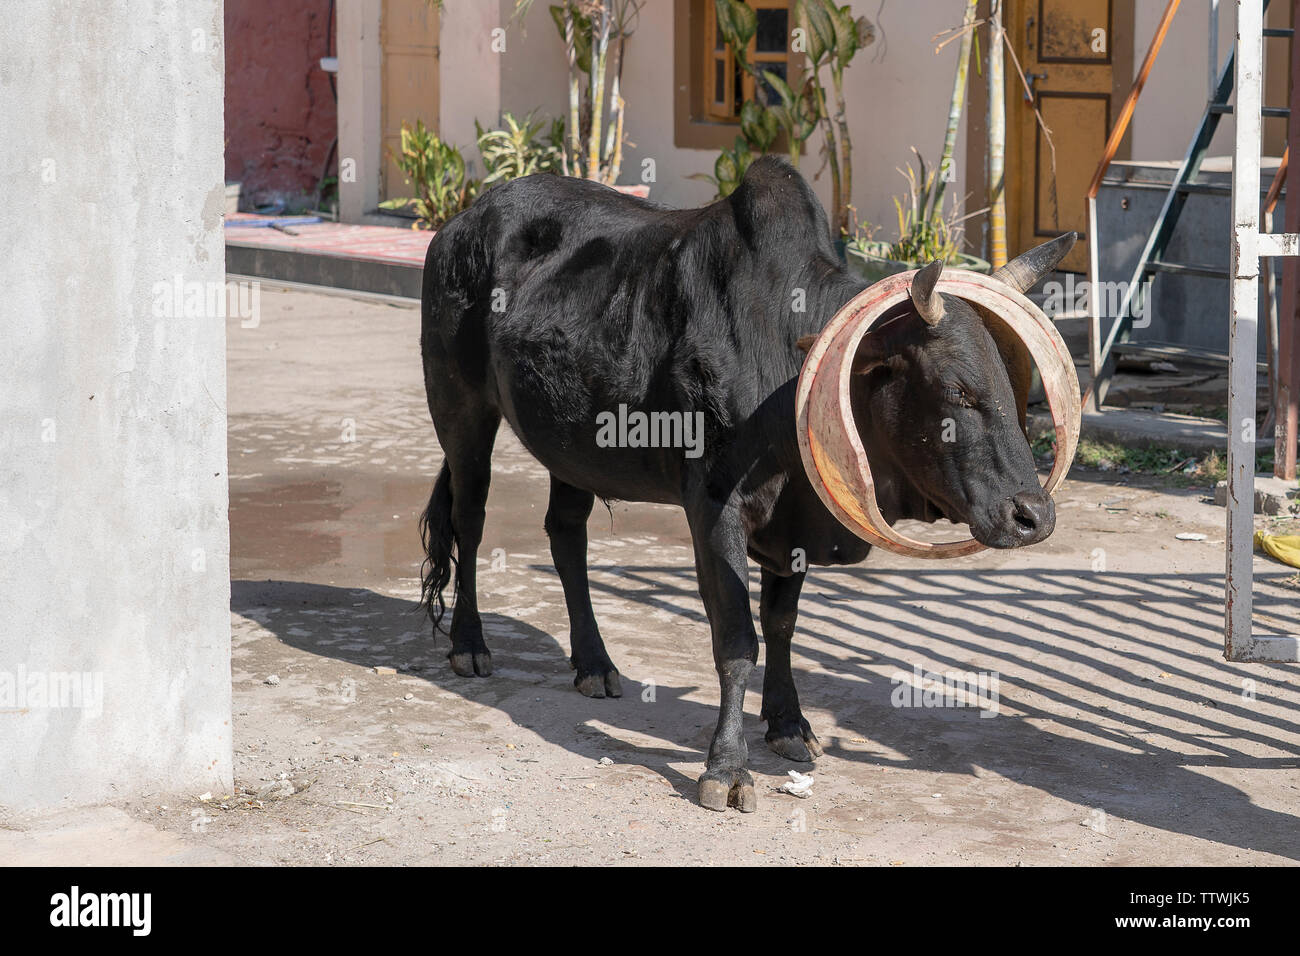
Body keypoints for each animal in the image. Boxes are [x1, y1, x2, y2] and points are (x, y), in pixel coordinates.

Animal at [418, 156, 1074, 812]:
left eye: (1018, 388)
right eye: (957, 389)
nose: (1033, 516)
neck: (787, 373)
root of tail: (465, 217)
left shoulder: (796, 525)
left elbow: (782, 624)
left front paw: (788, 725)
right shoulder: (715, 506)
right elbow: (737, 638)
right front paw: (727, 767)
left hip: (569, 444)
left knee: (565, 535)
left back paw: (594, 664)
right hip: (461, 412)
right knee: (469, 521)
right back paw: (470, 645)